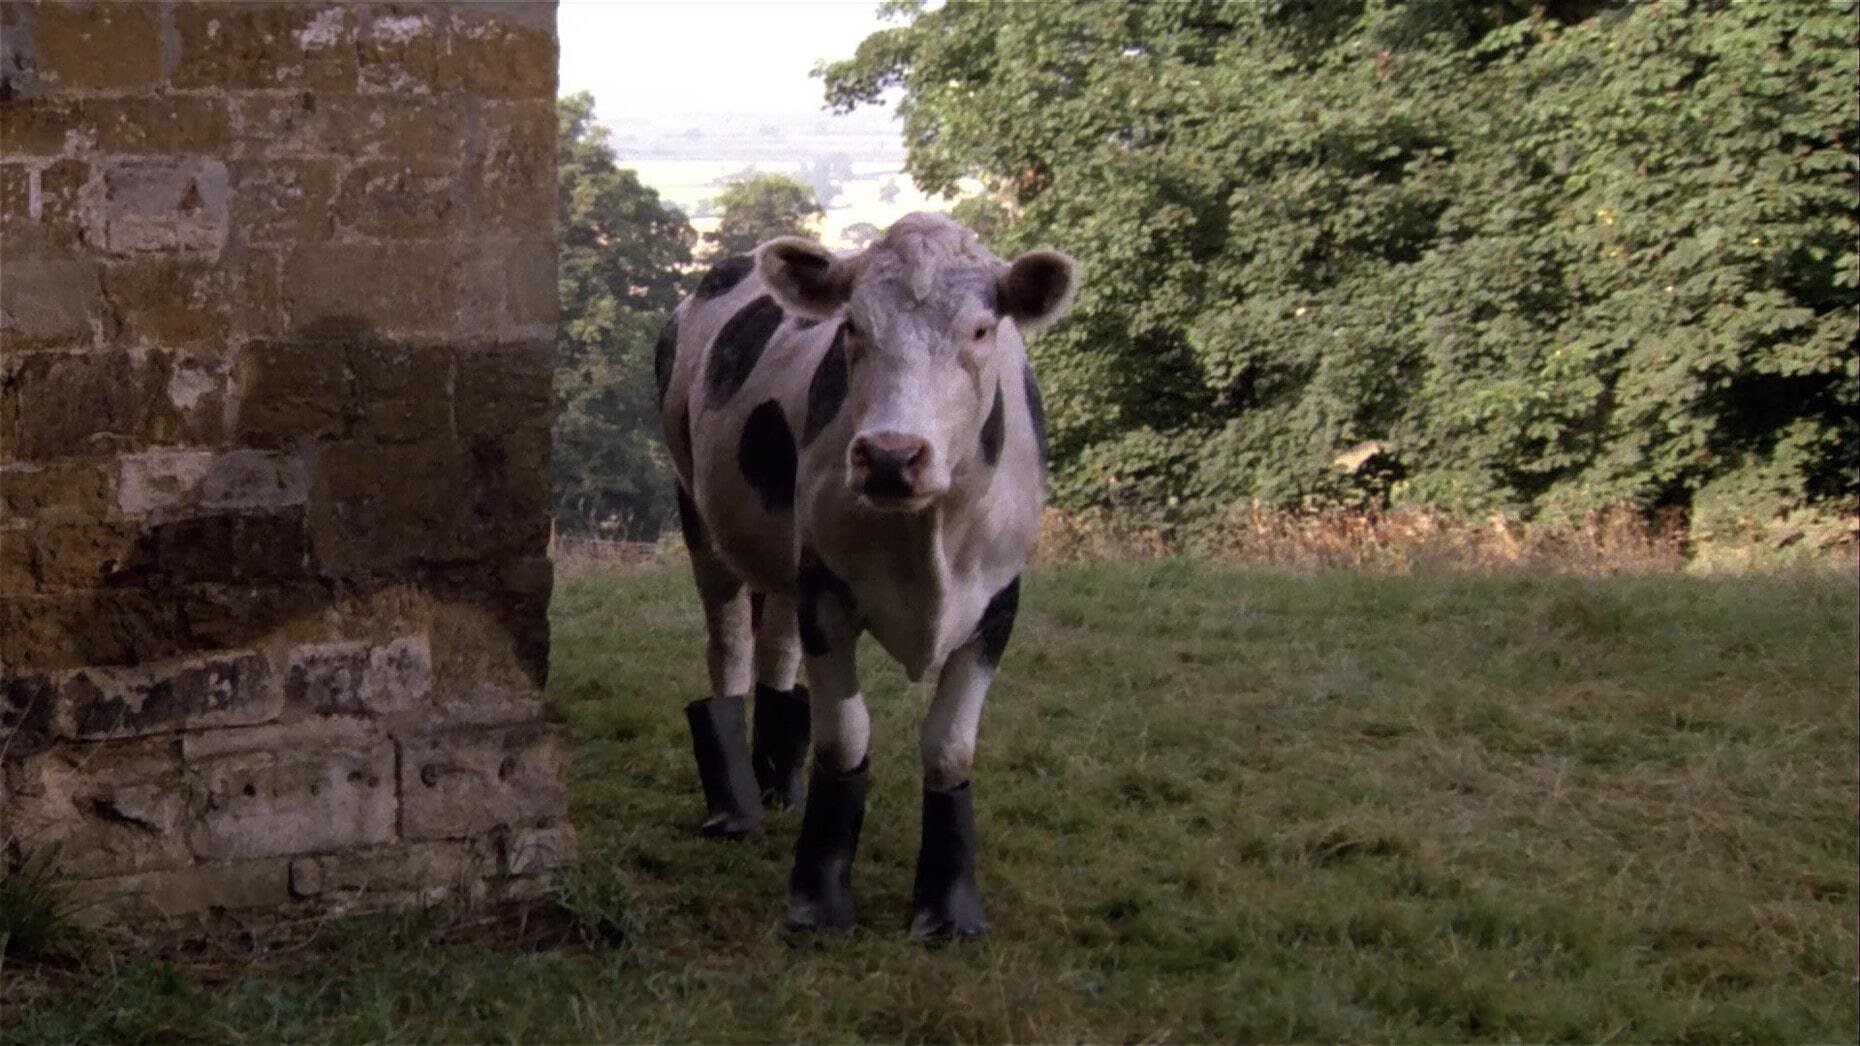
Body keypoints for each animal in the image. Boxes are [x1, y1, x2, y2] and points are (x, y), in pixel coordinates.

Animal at [654, 211, 1078, 938]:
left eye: (980, 330)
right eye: (852, 326)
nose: (889, 456)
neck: (927, 539)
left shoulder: (999, 602)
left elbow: (950, 749)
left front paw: (949, 911)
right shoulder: (827, 591)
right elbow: (845, 738)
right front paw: (818, 900)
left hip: (784, 552)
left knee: (775, 652)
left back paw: (780, 782)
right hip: (698, 511)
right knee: (730, 648)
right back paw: (737, 805)